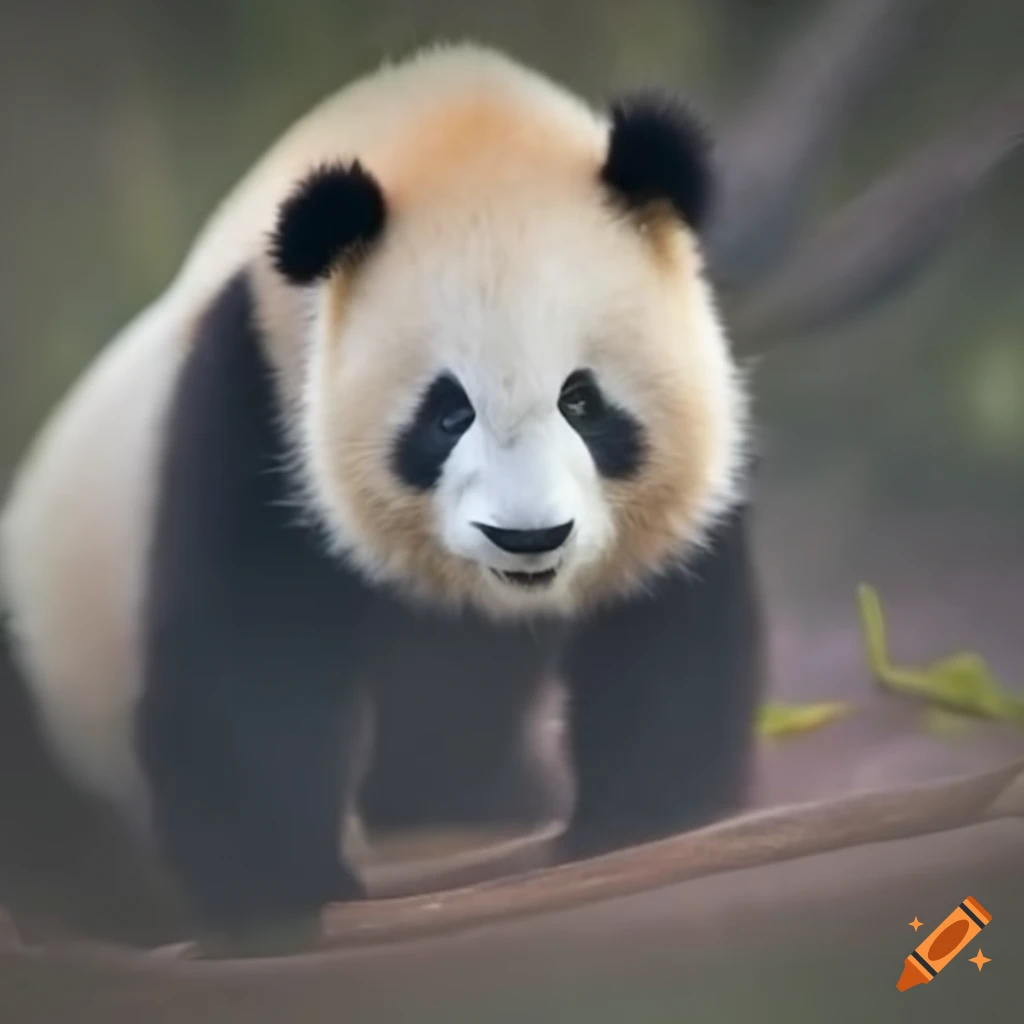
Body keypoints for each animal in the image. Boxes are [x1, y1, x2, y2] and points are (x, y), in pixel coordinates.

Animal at [0, 42, 762, 939]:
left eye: (581, 400)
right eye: (447, 412)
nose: (529, 538)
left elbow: (665, 628)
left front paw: (641, 827)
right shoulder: (255, 392)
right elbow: (249, 658)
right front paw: (279, 895)